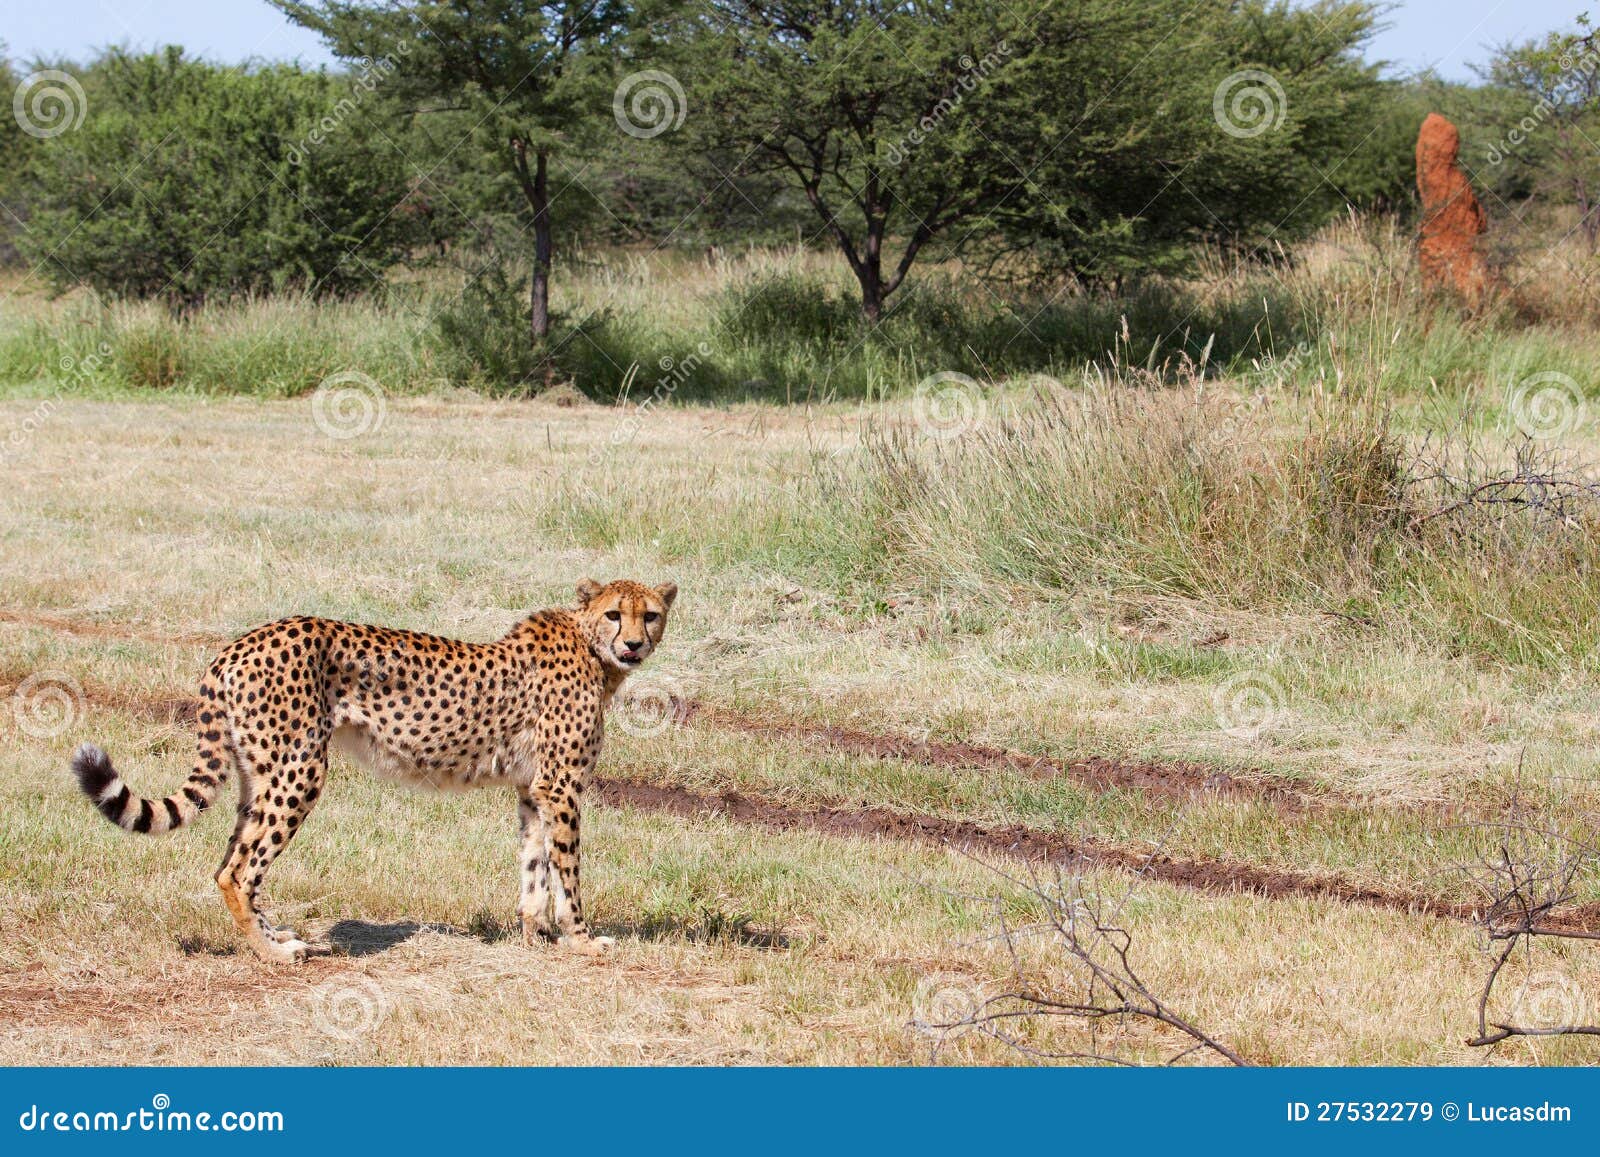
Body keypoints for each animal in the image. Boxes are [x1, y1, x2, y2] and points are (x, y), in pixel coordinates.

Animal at [70, 577, 677, 964]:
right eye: (614, 614)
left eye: (649, 615)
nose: (633, 644)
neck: (594, 650)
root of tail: (240, 642)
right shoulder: (561, 788)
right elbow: (567, 871)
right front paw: (582, 940)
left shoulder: (532, 789)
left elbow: (534, 867)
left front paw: (534, 936)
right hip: (299, 773)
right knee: (237, 872)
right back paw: (273, 954)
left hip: (258, 776)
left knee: (231, 861)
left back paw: (278, 936)